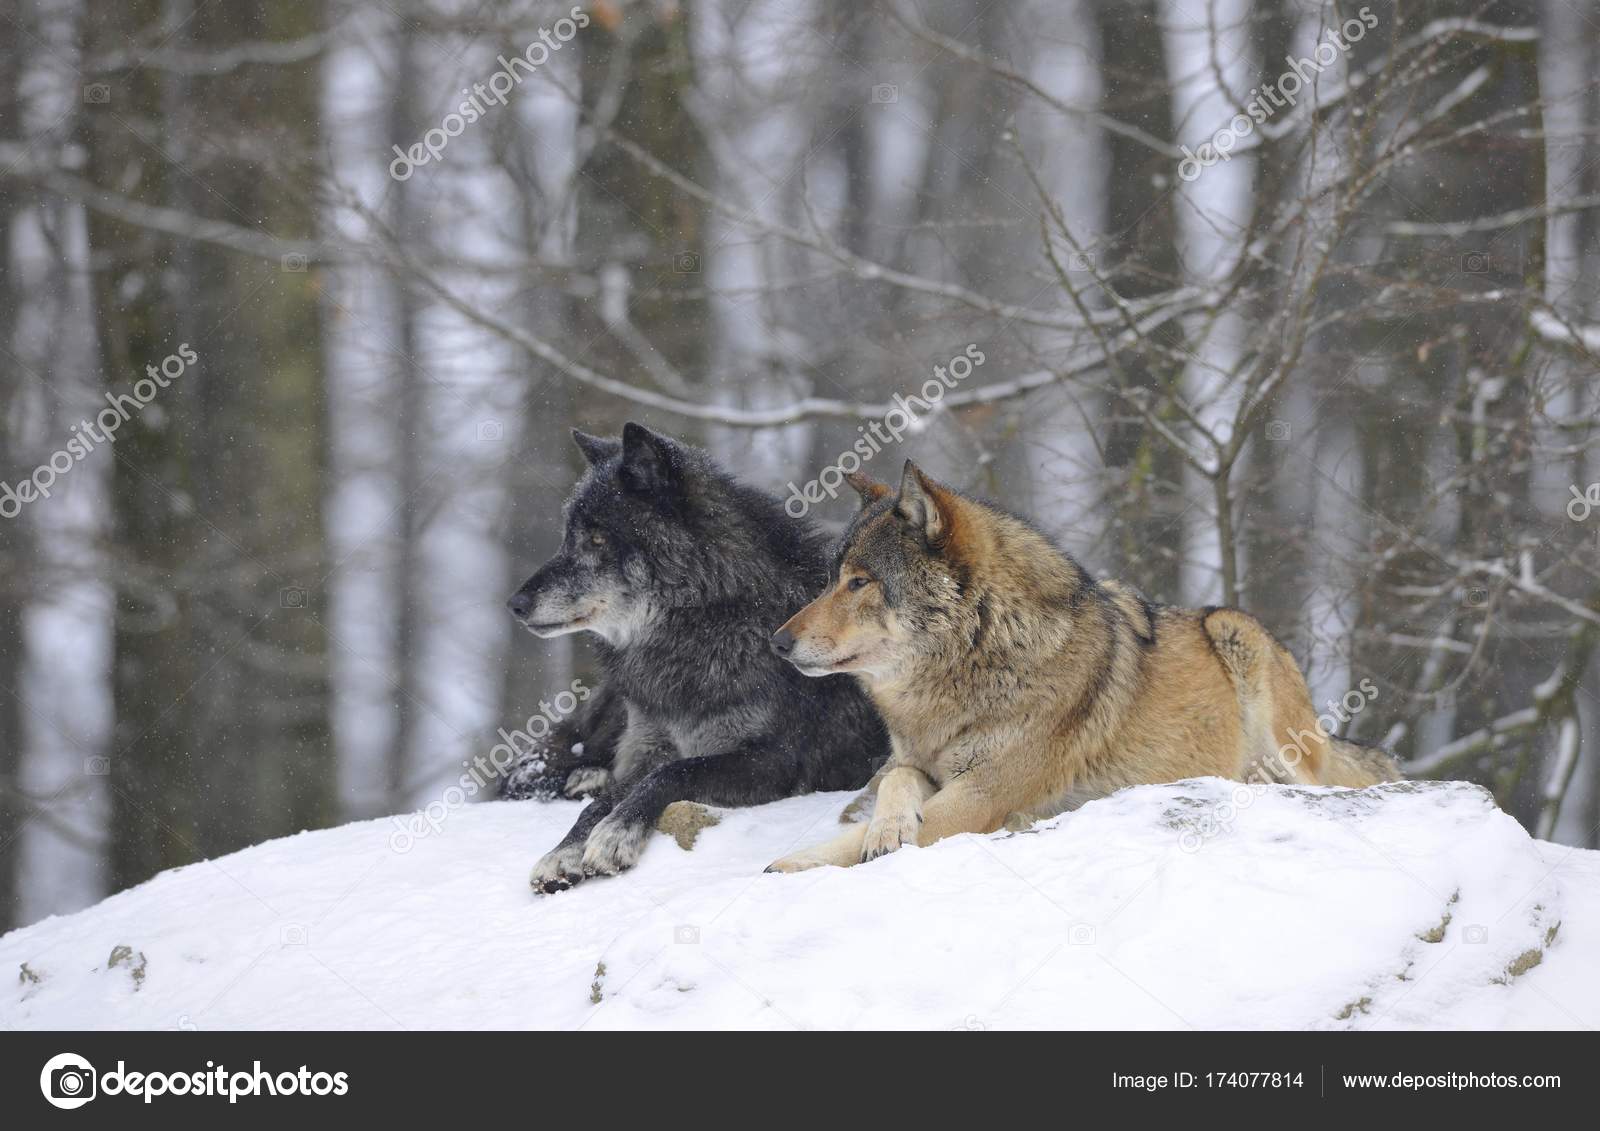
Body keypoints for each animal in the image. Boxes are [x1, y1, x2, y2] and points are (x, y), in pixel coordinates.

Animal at [508, 423, 888, 892]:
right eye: (567, 537)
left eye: (596, 539)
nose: (515, 604)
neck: (705, 623)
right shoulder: (649, 748)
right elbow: (613, 794)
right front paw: (564, 852)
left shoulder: (775, 762)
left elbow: (676, 772)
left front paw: (615, 834)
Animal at [766, 461, 1401, 872]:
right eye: (831, 579)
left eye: (859, 582)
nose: (776, 642)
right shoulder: (920, 763)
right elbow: (895, 780)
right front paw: (886, 826)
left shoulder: (979, 798)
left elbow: (863, 838)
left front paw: (800, 860)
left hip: (1240, 641)